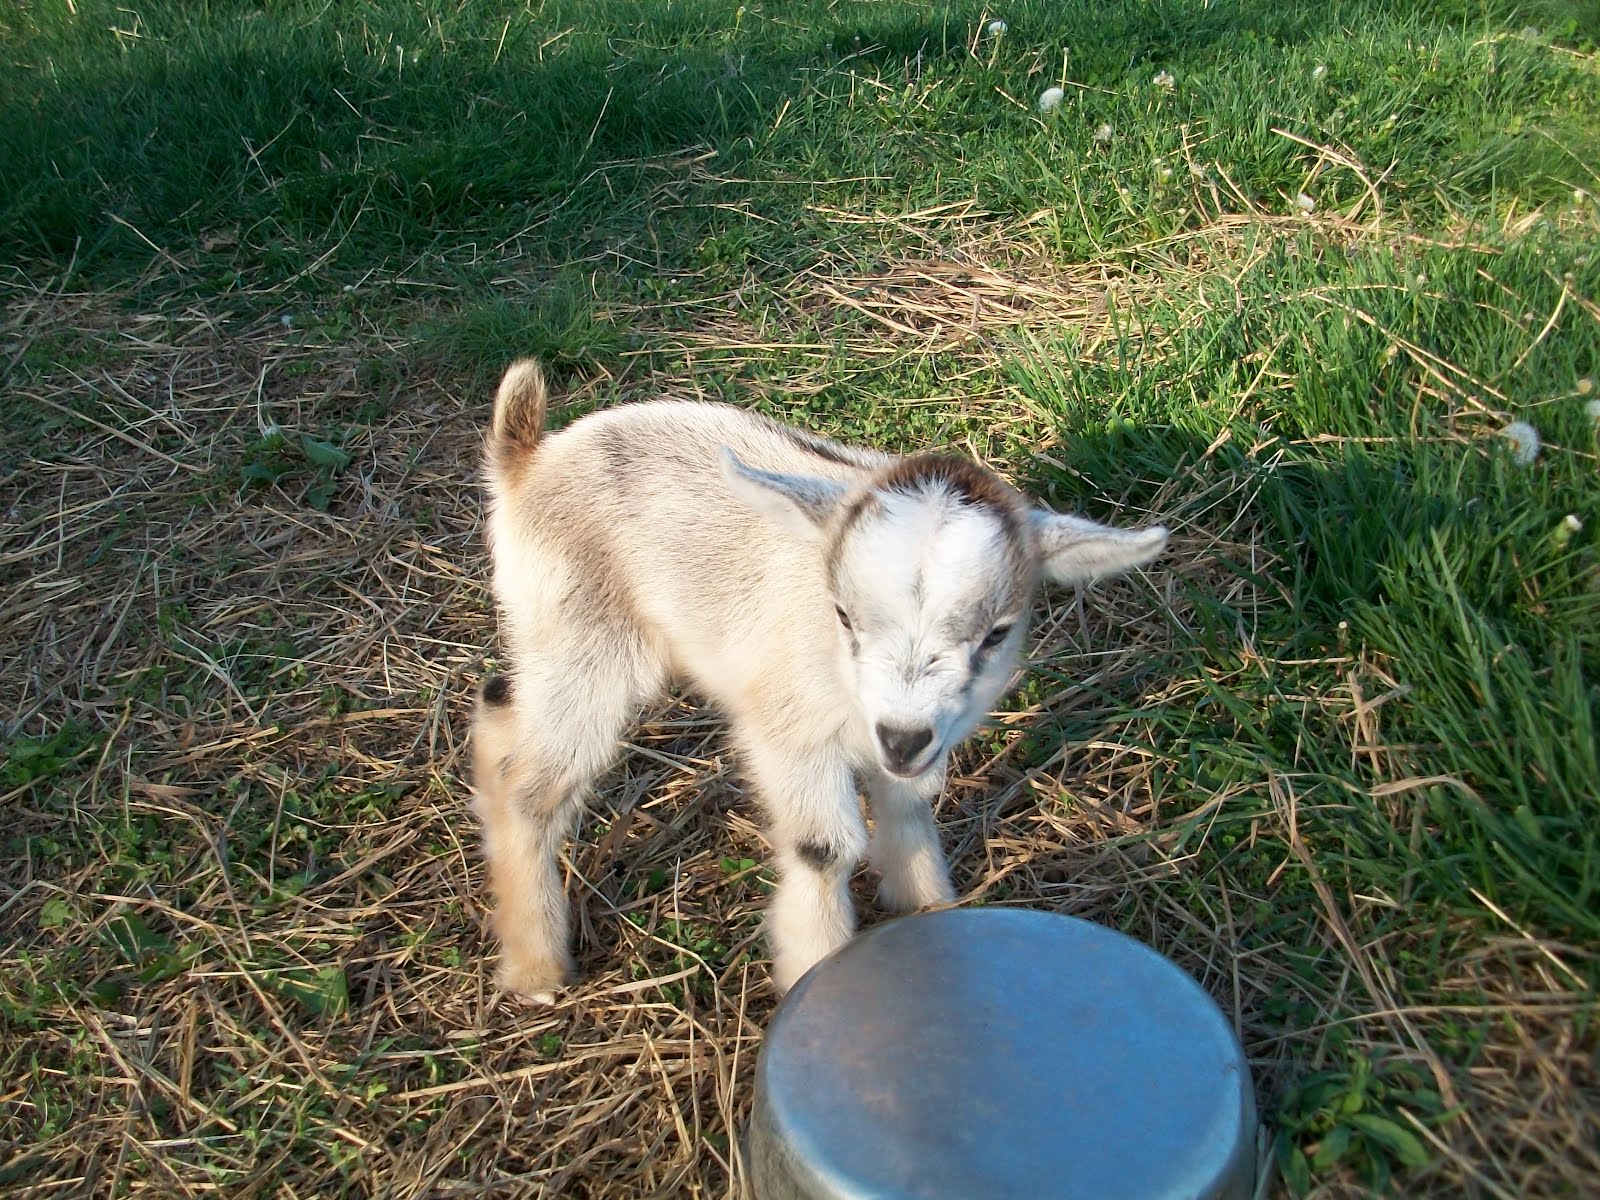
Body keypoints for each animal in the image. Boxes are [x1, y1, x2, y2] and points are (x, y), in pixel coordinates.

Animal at [472, 360, 1167, 1003]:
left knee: (503, 709)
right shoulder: (788, 729)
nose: (901, 739)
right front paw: (815, 967)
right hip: (586, 637)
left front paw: (927, 909)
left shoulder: (920, 740)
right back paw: (535, 967)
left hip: (550, 637)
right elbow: (822, 847)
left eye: (996, 633)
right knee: (535, 787)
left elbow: (910, 803)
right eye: (843, 616)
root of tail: (529, 460)